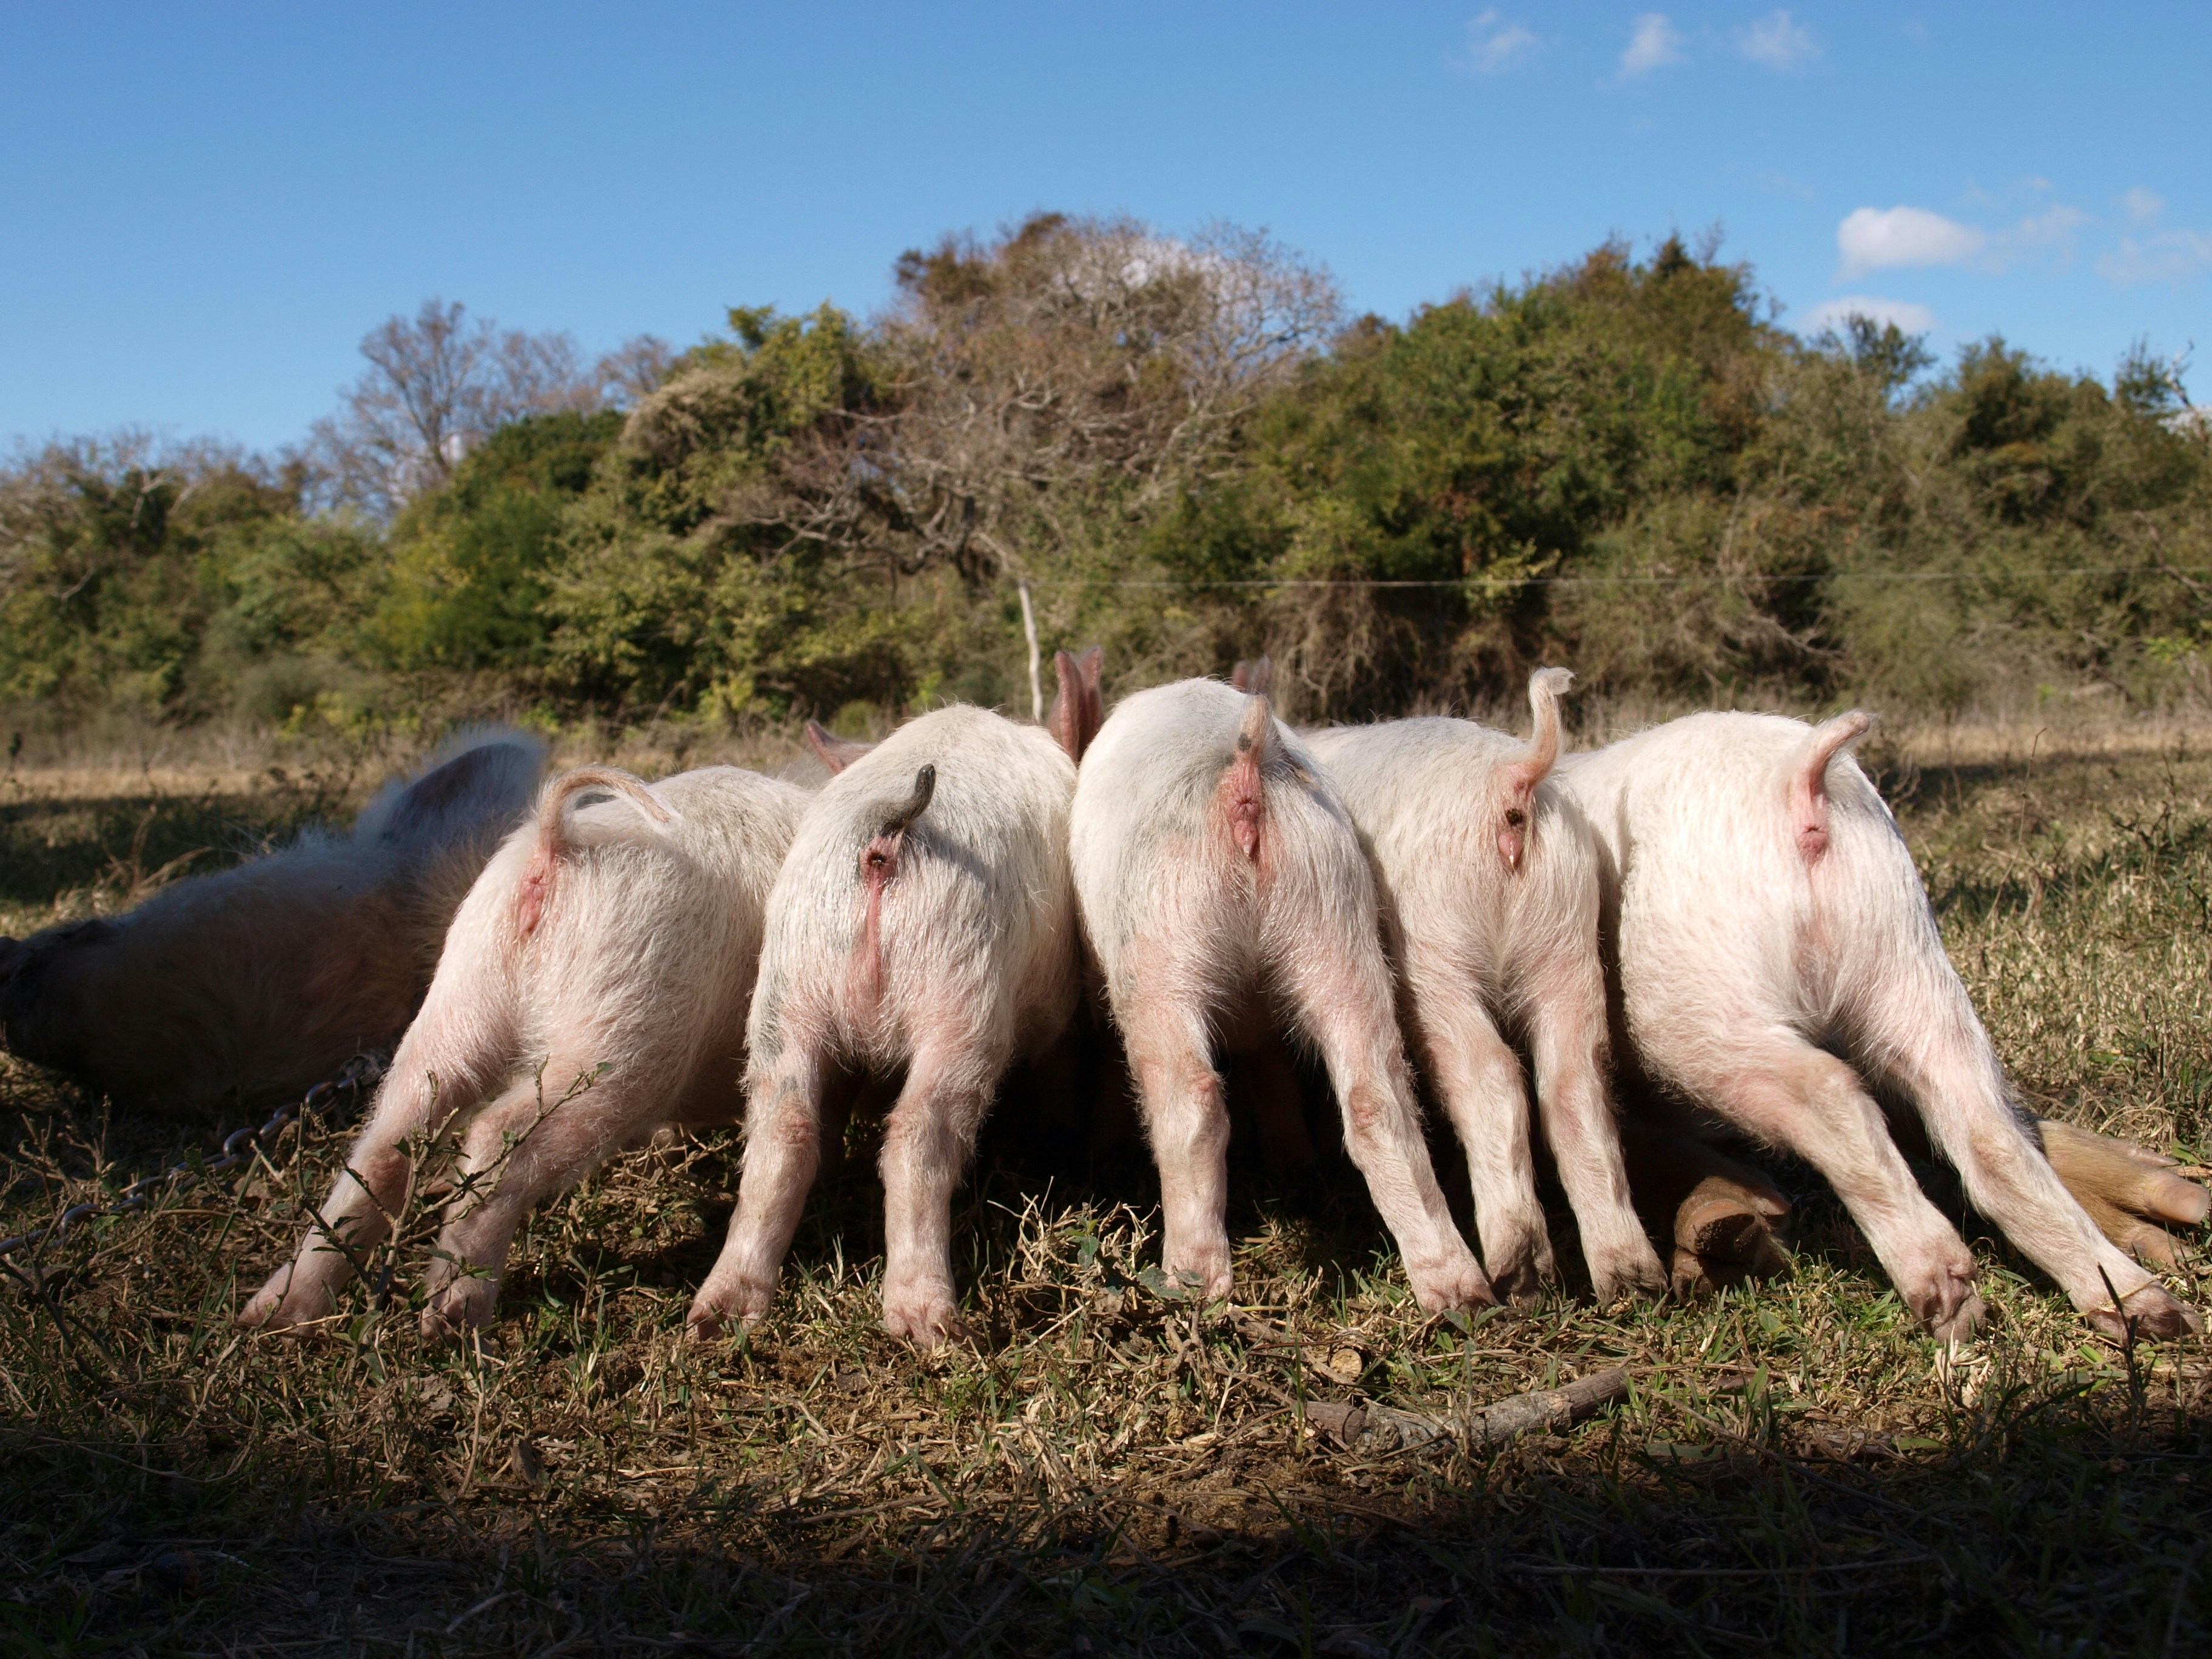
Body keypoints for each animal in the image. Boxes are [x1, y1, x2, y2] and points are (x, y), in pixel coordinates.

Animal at [239, 761, 810, 1337]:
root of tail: (555, 845)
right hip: (623, 1019)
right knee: (498, 1131)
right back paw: (452, 1321)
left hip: (462, 991)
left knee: (386, 1141)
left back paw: (272, 1317)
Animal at [687, 650, 1105, 1346]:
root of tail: (884, 834)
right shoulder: (1062, 1005)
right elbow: (1061, 1075)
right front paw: (1064, 1149)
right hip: (962, 989)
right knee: (917, 1132)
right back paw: (929, 1328)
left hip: (785, 989)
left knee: (782, 1128)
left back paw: (718, 1317)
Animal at [1068, 675, 1490, 1313]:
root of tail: (1248, 772)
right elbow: (1272, 1072)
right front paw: (1291, 1165)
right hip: (1333, 910)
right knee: (1378, 1098)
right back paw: (1461, 1296)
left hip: (1160, 932)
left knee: (1191, 1095)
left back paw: (1191, 1287)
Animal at [1305, 668, 1667, 1305]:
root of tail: (1512, 778)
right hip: (1568, 940)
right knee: (1575, 1084)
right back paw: (1632, 1283)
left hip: (1436, 949)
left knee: (1490, 1072)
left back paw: (1516, 1274)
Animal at [1558, 711, 2201, 1339]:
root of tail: (1799, 778)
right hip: (1905, 950)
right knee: (1987, 1125)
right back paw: (2153, 1312)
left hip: (1691, 990)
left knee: (1827, 1089)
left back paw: (1948, 1302)